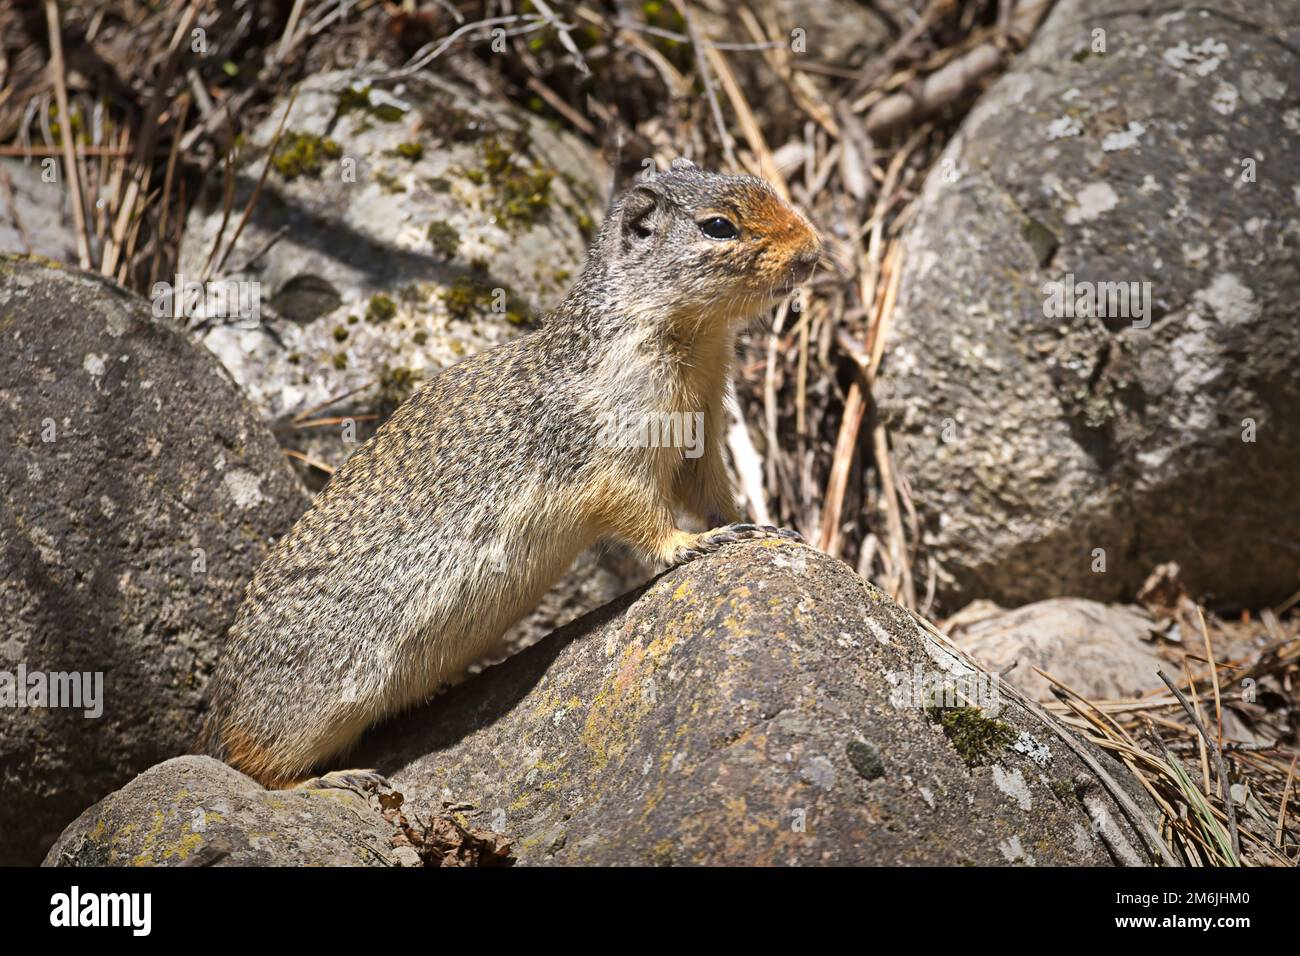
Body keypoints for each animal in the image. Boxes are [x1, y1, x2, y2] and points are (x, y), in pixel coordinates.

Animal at [199, 158, 822, 788]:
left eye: (764, 187)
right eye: (718, 226)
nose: (813, 251)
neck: (686, 339)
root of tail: (219, 709)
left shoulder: (701, 437)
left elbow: (711, 490)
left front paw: (762, 527)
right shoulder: (615, 448)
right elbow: (639, 509)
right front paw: (692, 544)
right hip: (312, 702)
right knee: (255, 765)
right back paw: (334, 779)